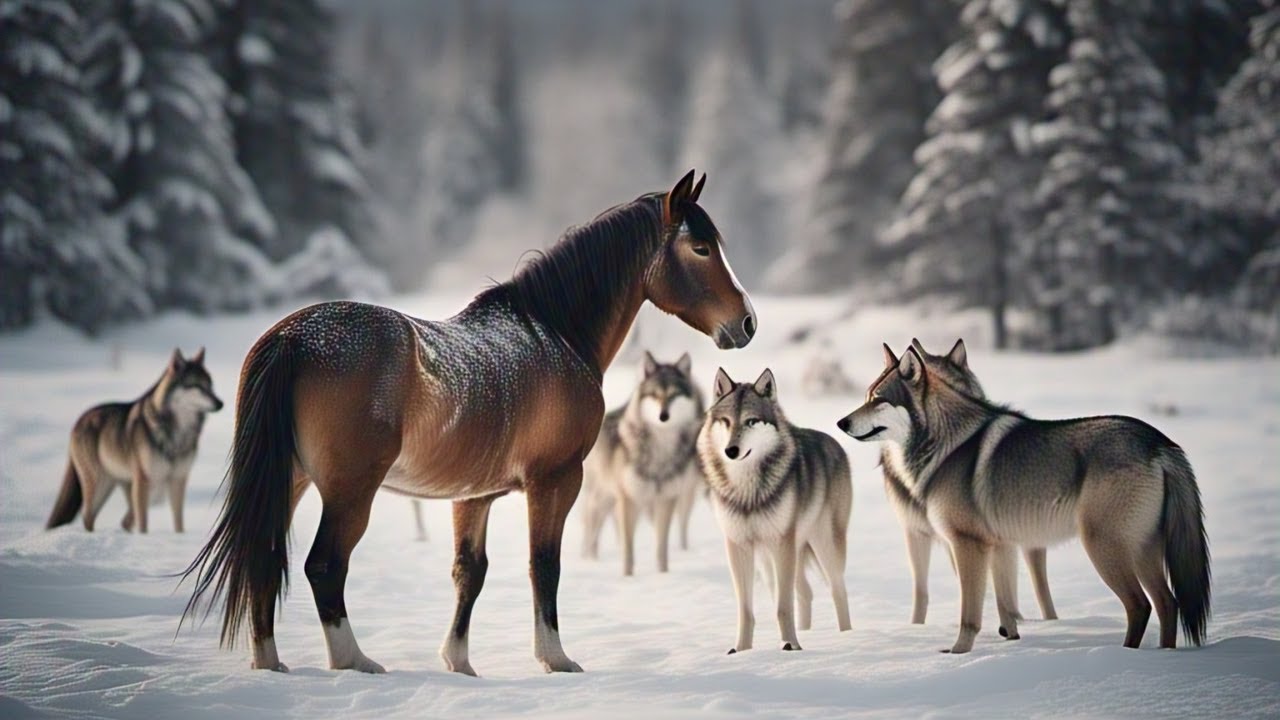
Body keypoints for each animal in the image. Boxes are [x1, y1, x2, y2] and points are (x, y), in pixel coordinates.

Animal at [46, 348, 223, 533]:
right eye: (197, 386)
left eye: (211, 386)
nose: (220, 403)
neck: (178, 433)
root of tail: (80, 420)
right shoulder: (143, 480)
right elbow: (144, 525)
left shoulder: (178, 480)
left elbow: (179, 524)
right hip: (103, 484)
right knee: (88, 516)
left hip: (138, 490)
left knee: (123, 521)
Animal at [580, 351, 704, 575]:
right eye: (654, 395)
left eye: (674, 395)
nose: (663, 416)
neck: (660, 452)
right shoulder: (629, 499)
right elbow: (628, 551)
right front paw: (628, 577)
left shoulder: (666, 499)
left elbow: (661, 547)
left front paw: (663, 575)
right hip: (603, 497)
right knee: (592, 524)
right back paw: (589, 560)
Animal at [698, 368, 852, 653]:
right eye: (725, 421)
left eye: (750, 421)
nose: (730, 451)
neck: (747, 492)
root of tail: (834, 442)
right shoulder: (738, 545)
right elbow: (746, 611)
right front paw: (742, 651)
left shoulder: (782, 543)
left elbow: (783, 607)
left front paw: (791, 645)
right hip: (769, 561)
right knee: (805, 592)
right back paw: (807, 633)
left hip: (822, 545)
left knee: (838, 590)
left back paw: (847, 637)